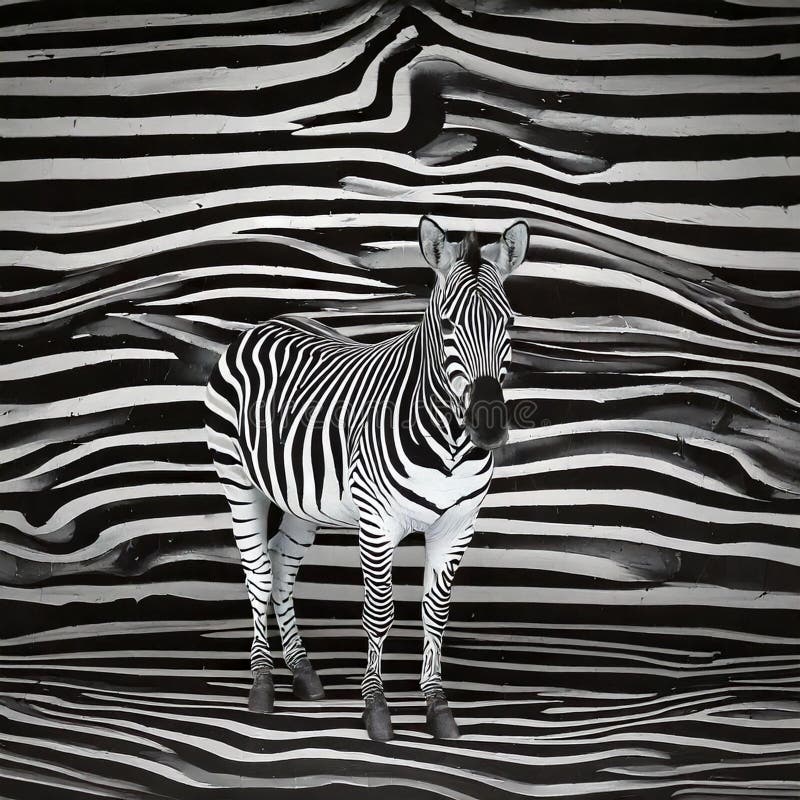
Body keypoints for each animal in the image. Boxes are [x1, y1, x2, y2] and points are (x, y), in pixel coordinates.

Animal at [204, 216, 528, 741]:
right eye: (447, 325)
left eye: (510, 324)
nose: (489, 427)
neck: (450, 446)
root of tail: (265, 322)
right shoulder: (377, 522)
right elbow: (380, 613)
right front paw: (375, 707)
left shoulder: (458, 526)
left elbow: (435, 614)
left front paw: (436, 705)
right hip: (236, 478)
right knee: (257, 571)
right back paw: (262, 684)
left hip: (301, 498)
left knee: (281, 562)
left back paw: (302, 670)